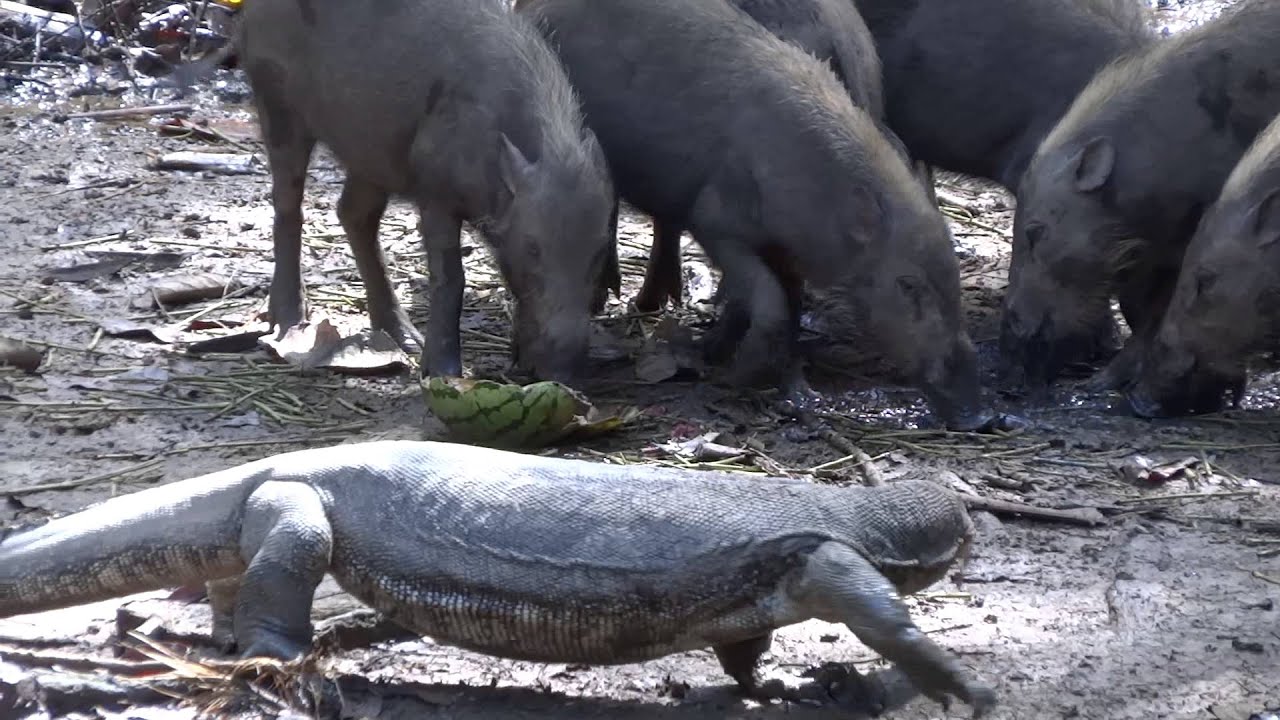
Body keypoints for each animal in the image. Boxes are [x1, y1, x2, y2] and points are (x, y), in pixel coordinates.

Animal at [237, 0, 615, 383]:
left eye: (599, 252)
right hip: (275, 99)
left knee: (353, 214)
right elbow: (450, 277)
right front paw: (443, 372)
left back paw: (403, 338)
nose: (564, 371)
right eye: (533, 249)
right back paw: (289, 320)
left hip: (373, 152)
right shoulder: (436, 190)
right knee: (288, 204)